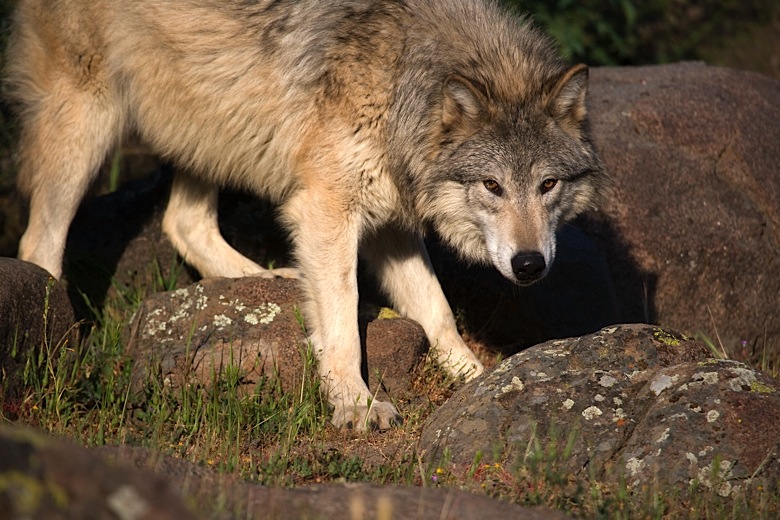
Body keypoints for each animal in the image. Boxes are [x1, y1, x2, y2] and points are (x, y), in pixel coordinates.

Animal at [6, 0, 608, 429]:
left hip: (208, 121)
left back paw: (266, 283)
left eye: (548, 185)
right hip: (92, 118)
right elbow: (343, 317)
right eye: (492, 185)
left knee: (183, 222)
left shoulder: (390, 223)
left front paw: (477, 377)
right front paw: (355, 405)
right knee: (39, 242)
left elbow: (436, 309)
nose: (530, 265)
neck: (400, 80)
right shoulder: (326, 208)